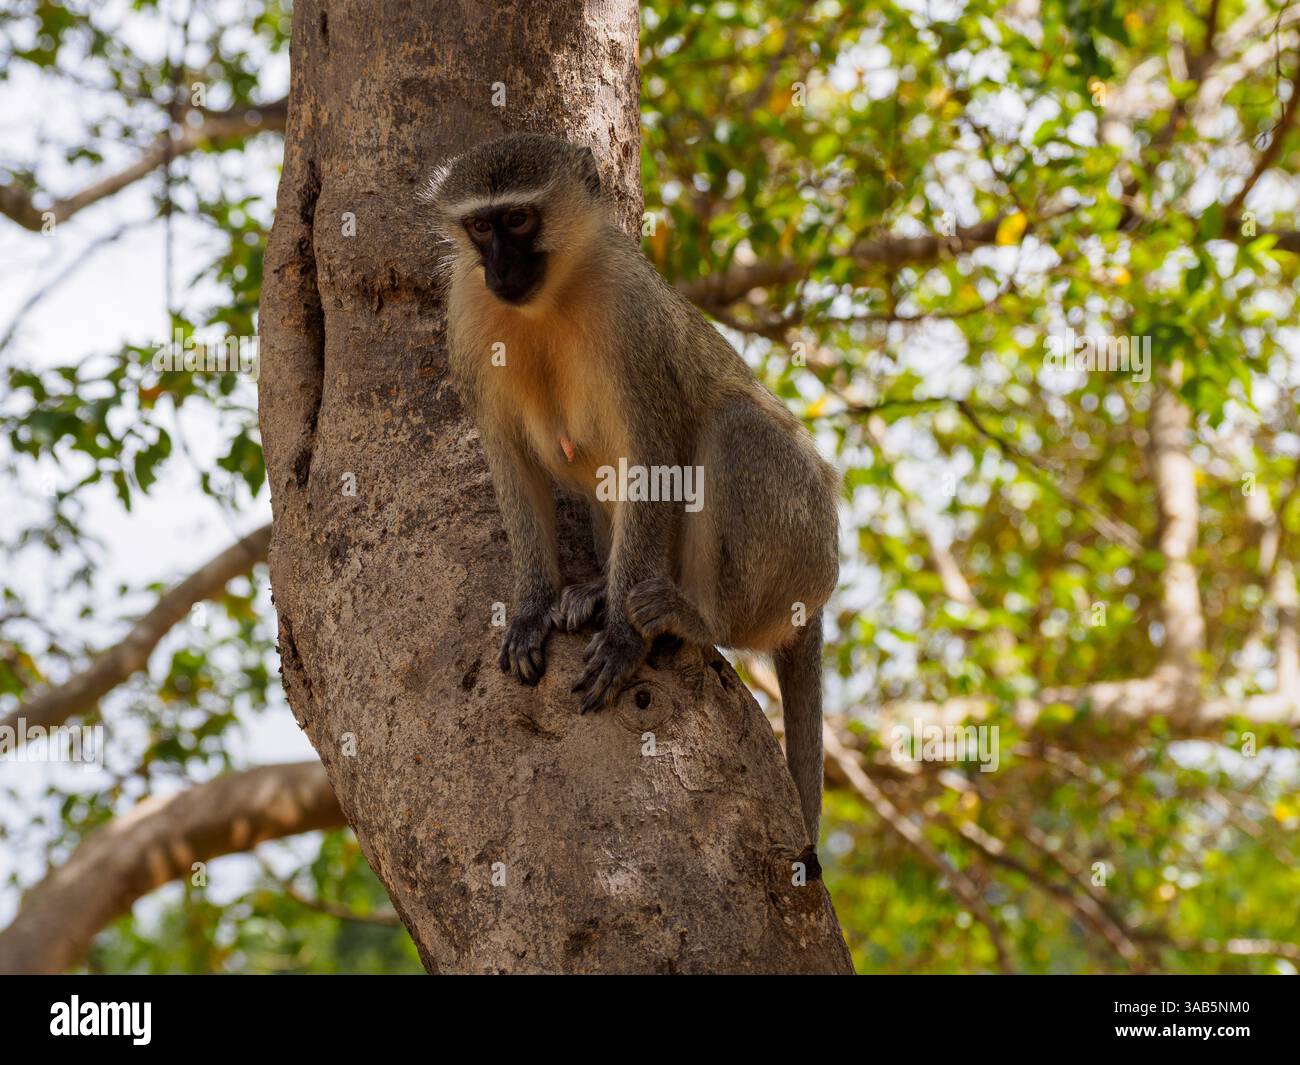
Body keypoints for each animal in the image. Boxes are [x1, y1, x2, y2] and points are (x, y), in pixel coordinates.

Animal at [424, 133, 839, 843]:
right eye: (481, 226)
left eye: (519, 220)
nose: (500, 269)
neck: (552, 299)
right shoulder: (470, 314)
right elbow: (510, 463)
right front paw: (533, 607)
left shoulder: (631, 316)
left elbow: (652, 456)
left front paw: (621, 638)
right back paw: (595, 591)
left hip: (803, 547)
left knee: (734, 427)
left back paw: (694, 617)